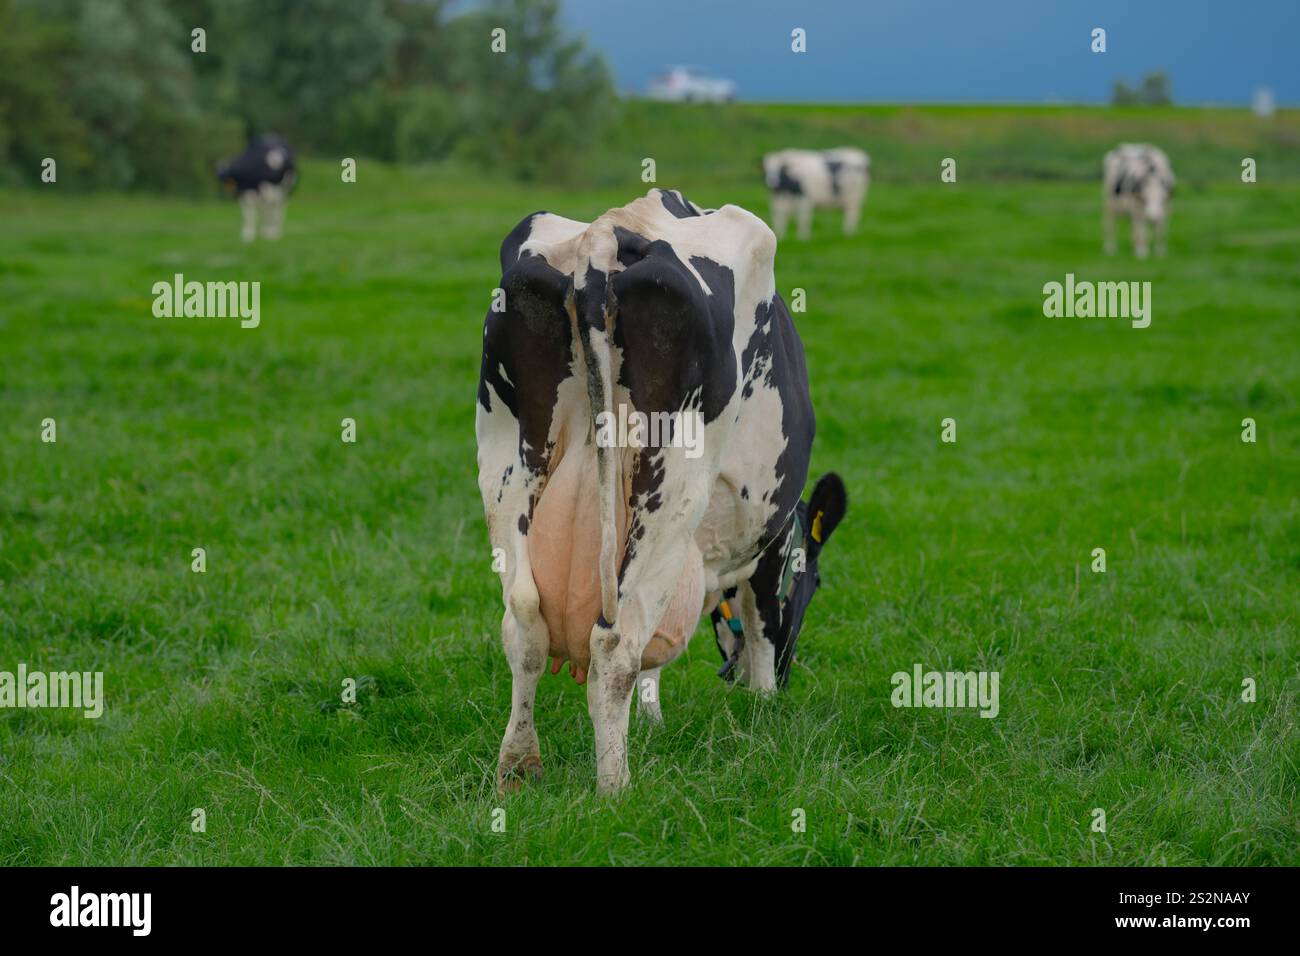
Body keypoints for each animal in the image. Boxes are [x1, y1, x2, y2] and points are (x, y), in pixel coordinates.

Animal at [476, 188, 846, 793]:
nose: (791, 676)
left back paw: (517, 768)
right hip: (668, 489)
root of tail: (606, 235)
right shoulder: (769, 540)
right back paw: (615, 789)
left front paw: (652, 720)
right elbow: (762, 620)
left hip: (506, 464)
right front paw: (765, 704)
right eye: (815, 585)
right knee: (616, 644)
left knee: (525, 623)